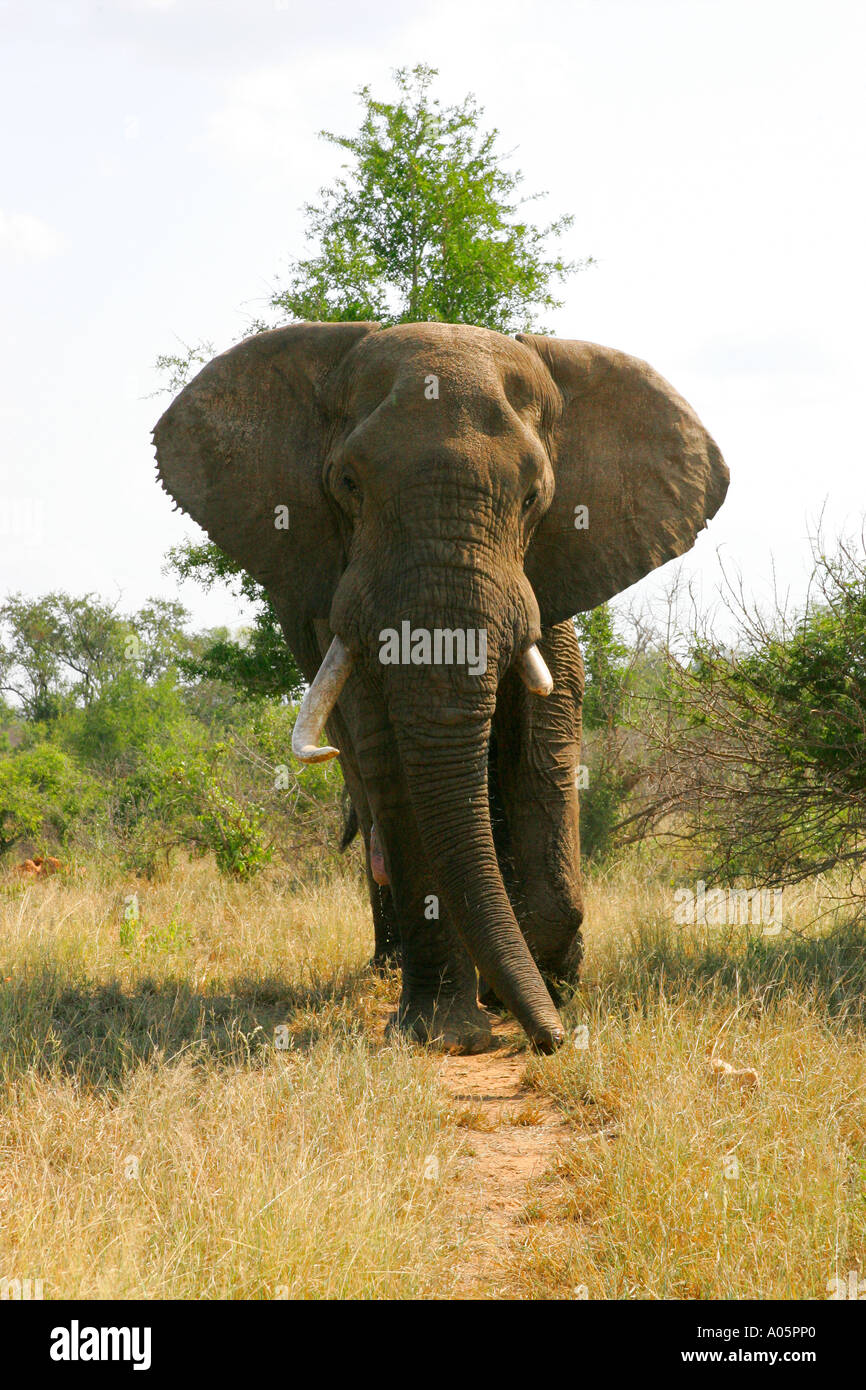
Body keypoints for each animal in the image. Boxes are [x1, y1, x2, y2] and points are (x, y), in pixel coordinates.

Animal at [153, 321, 728, 1054]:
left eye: (535, 497)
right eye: (347, 484)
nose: (553, 1043)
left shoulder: (553, 568)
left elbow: (545, 736)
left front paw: (544, 983)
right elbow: (396, 758)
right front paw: (448, 1035)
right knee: (369, 790)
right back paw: (395, 968)